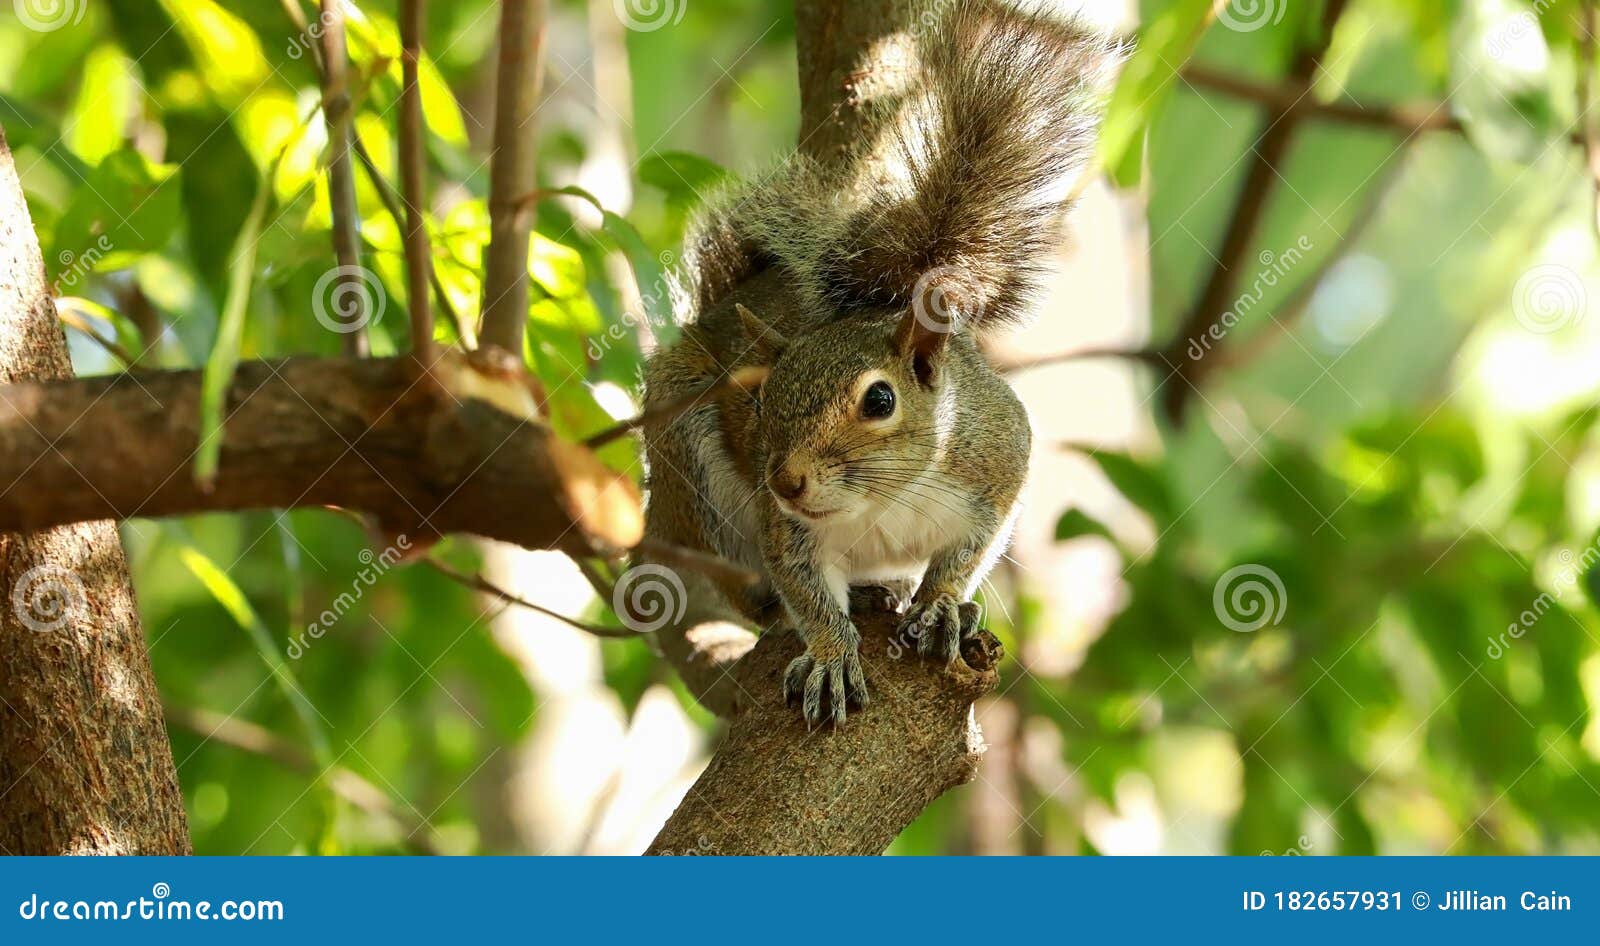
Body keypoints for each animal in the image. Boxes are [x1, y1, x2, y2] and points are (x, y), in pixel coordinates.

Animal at [637, 0, 1121, 727]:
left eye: (881, 400)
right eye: (759, 400)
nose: (785, 482)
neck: (883, 496)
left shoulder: (998, 463)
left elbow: (969, 552)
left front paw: (945, 604)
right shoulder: (787, 533)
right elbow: (806, 593)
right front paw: (831, 657)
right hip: (689, 472)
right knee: (749, 588)